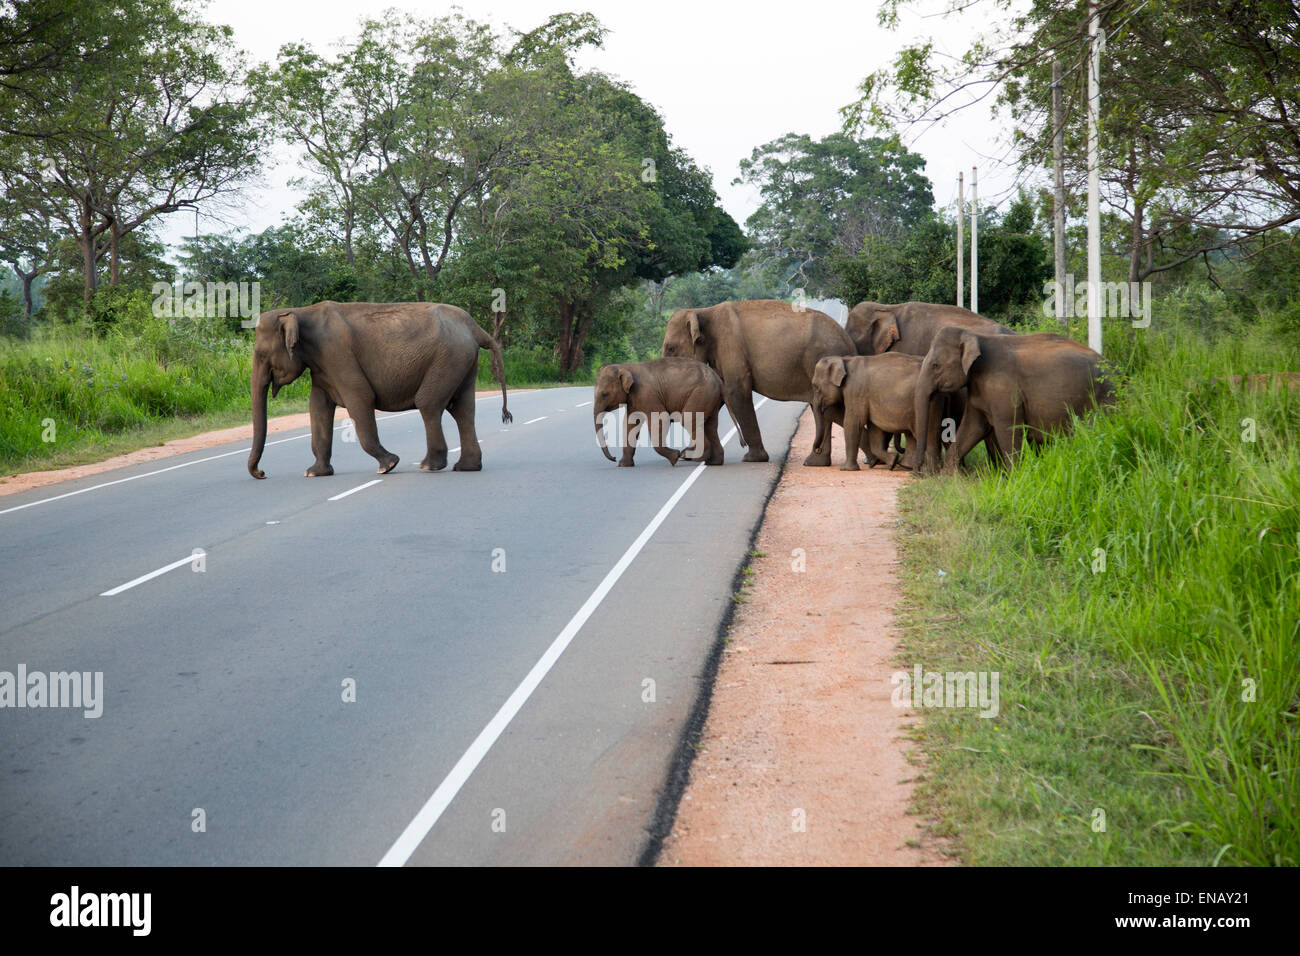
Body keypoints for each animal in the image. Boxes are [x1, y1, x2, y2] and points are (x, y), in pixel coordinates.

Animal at [247, 300, 511, 479]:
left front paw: (389, 465)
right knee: (462, 409)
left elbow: (361, 398)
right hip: (463, 360)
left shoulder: (337, 355)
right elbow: (318, 408)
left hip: (449, 358)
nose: (262, 473)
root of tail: (475, 327)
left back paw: (429, 466)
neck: (300, 311)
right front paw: (314, 473)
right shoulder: (322, 367)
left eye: (261, 355)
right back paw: (466, 467)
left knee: (428, 403)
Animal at [592, 358, 726, 467]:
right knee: (710, 426)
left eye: (604, 394)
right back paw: (713, 462)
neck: (626, 367)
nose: (614, 458)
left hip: (702, 393)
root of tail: (719, 380)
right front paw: (623, 465)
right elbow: (630, 425)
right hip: (710, 398)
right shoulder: (633, 399)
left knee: (688, 420)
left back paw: (690, 456)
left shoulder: (646, 394)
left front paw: (675, 457)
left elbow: (661, 419)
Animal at [660, 299, 857, 467]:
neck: (702, 311)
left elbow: (735, 393)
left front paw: (752, 459)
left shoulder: (730, 347)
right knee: (824, 411)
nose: (682, 454)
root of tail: (848, 340)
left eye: (671, 348)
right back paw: (815, 463)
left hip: (819, 357)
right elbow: (720, 397)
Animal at [810, 353, 944, 472]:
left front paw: (846, 469)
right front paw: (891, 461)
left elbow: (852, 423)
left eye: (815, 386)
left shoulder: (855, 391)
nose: (818, 450)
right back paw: (907, 466)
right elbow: (875, 429)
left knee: (925, 435)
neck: (845, 359)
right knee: (914, 435)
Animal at [912, 328, 1115, 474]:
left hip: (1105, 398)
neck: (976, 336)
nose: (917, 471)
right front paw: (949, 477)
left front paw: (1016, 477)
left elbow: (1008, 428)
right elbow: (973, 427)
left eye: (935, 365)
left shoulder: (1004, 388)